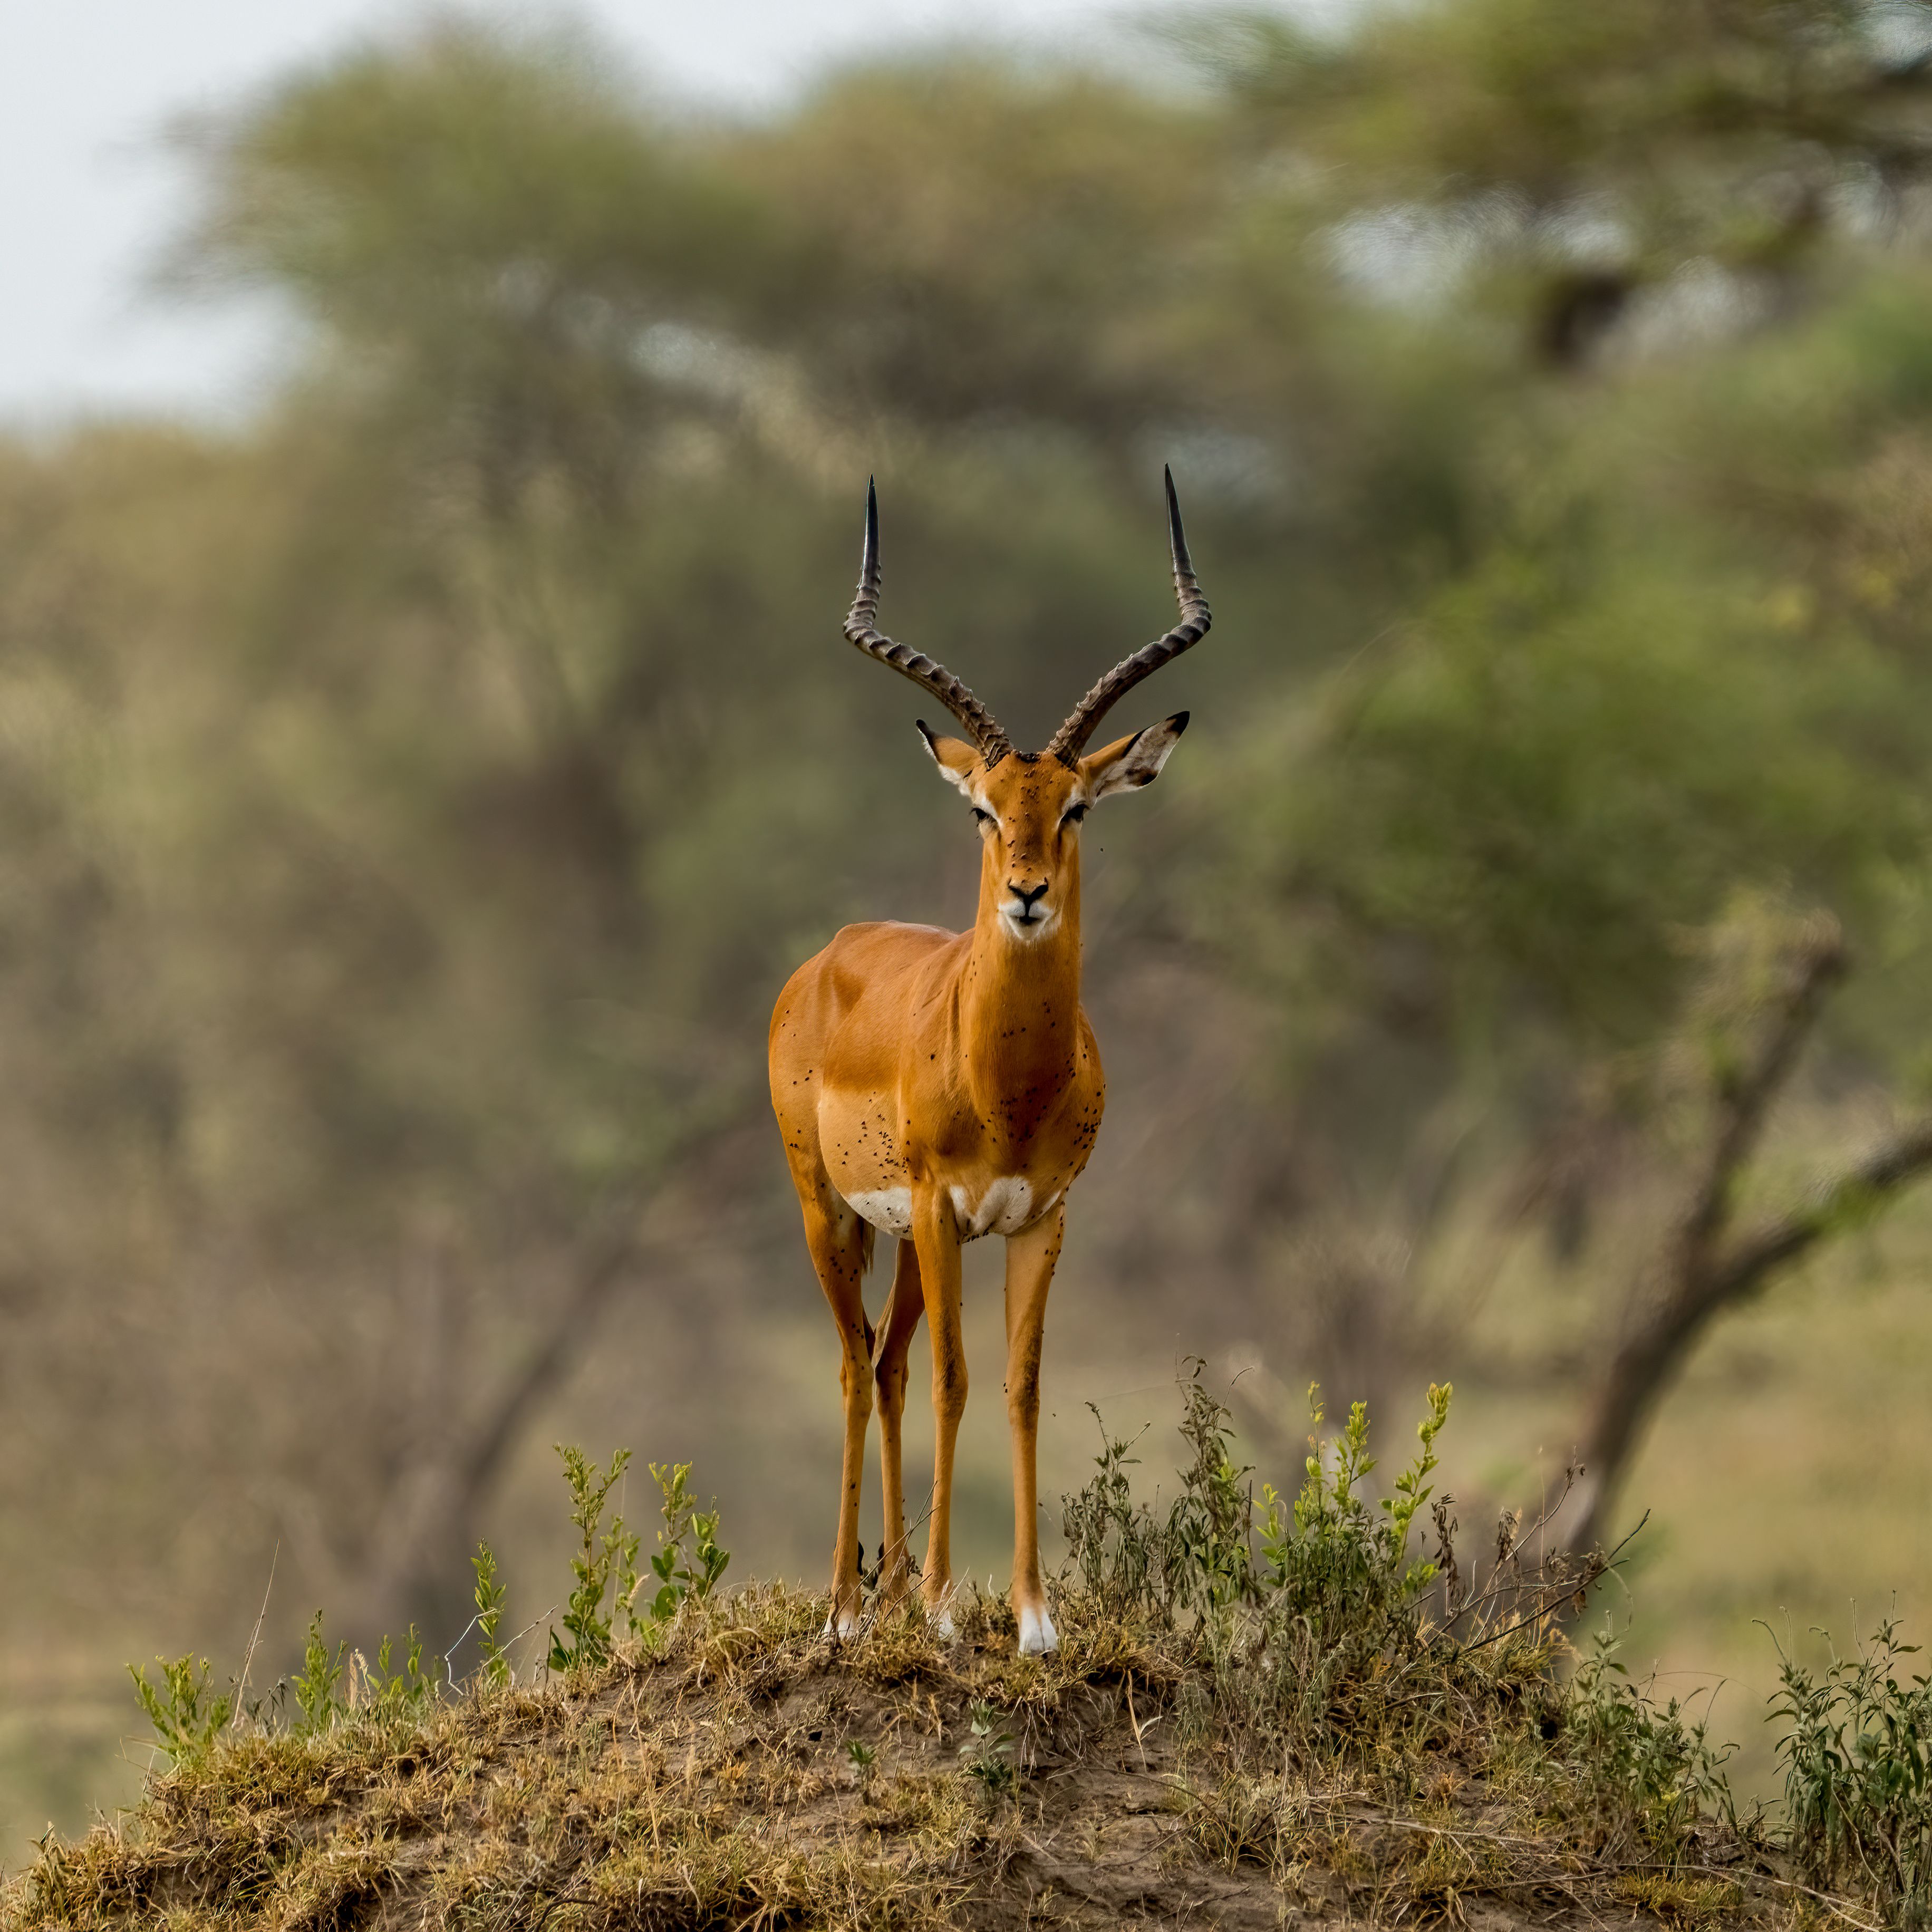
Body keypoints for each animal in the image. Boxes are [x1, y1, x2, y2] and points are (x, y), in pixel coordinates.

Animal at [768, 470, 1210, 1653]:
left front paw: (1030, 1615)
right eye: (980, 808)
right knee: (851, 1365)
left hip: (914, 1242)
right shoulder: (937, 1204)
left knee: (884, 1361)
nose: (1024, 893)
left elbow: (1018, 1385)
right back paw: (845, 1609)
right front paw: (941, 1609)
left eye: (1075, 805)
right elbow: (958, 1382)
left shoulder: (1036, 1217)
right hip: (834, 1214)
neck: (1004, 1084)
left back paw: (879, 1590)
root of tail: (826, 957)